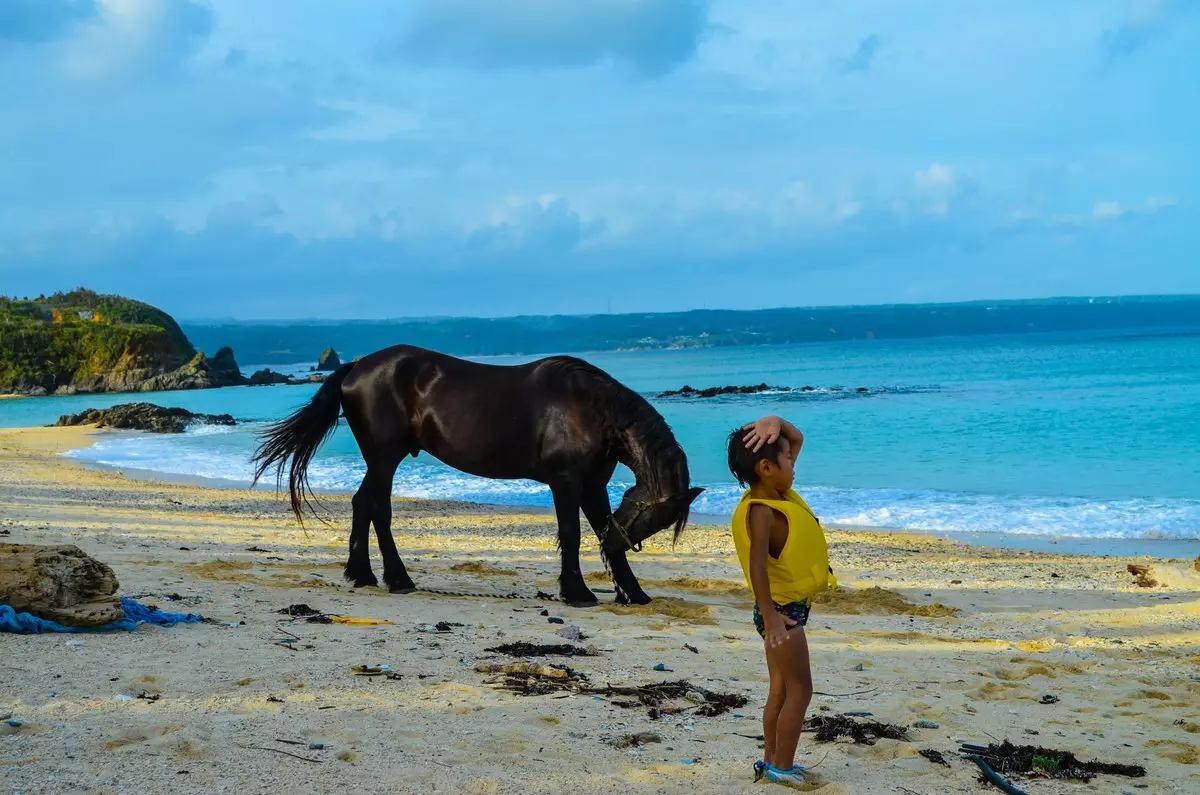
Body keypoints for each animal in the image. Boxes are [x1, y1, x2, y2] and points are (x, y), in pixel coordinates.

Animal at [252, 345, 700, 607]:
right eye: (651, 515)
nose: (611, 546)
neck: (590, 408)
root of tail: (357, 367)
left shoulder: (593, 485)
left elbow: (596, 525)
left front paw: (633, 591)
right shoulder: (566, 482)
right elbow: (571, 533)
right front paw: (577, 593)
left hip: (382, 459)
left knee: (364, 504)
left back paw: (364, 575)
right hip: (384, 457)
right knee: (378, 507)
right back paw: (396, 578)